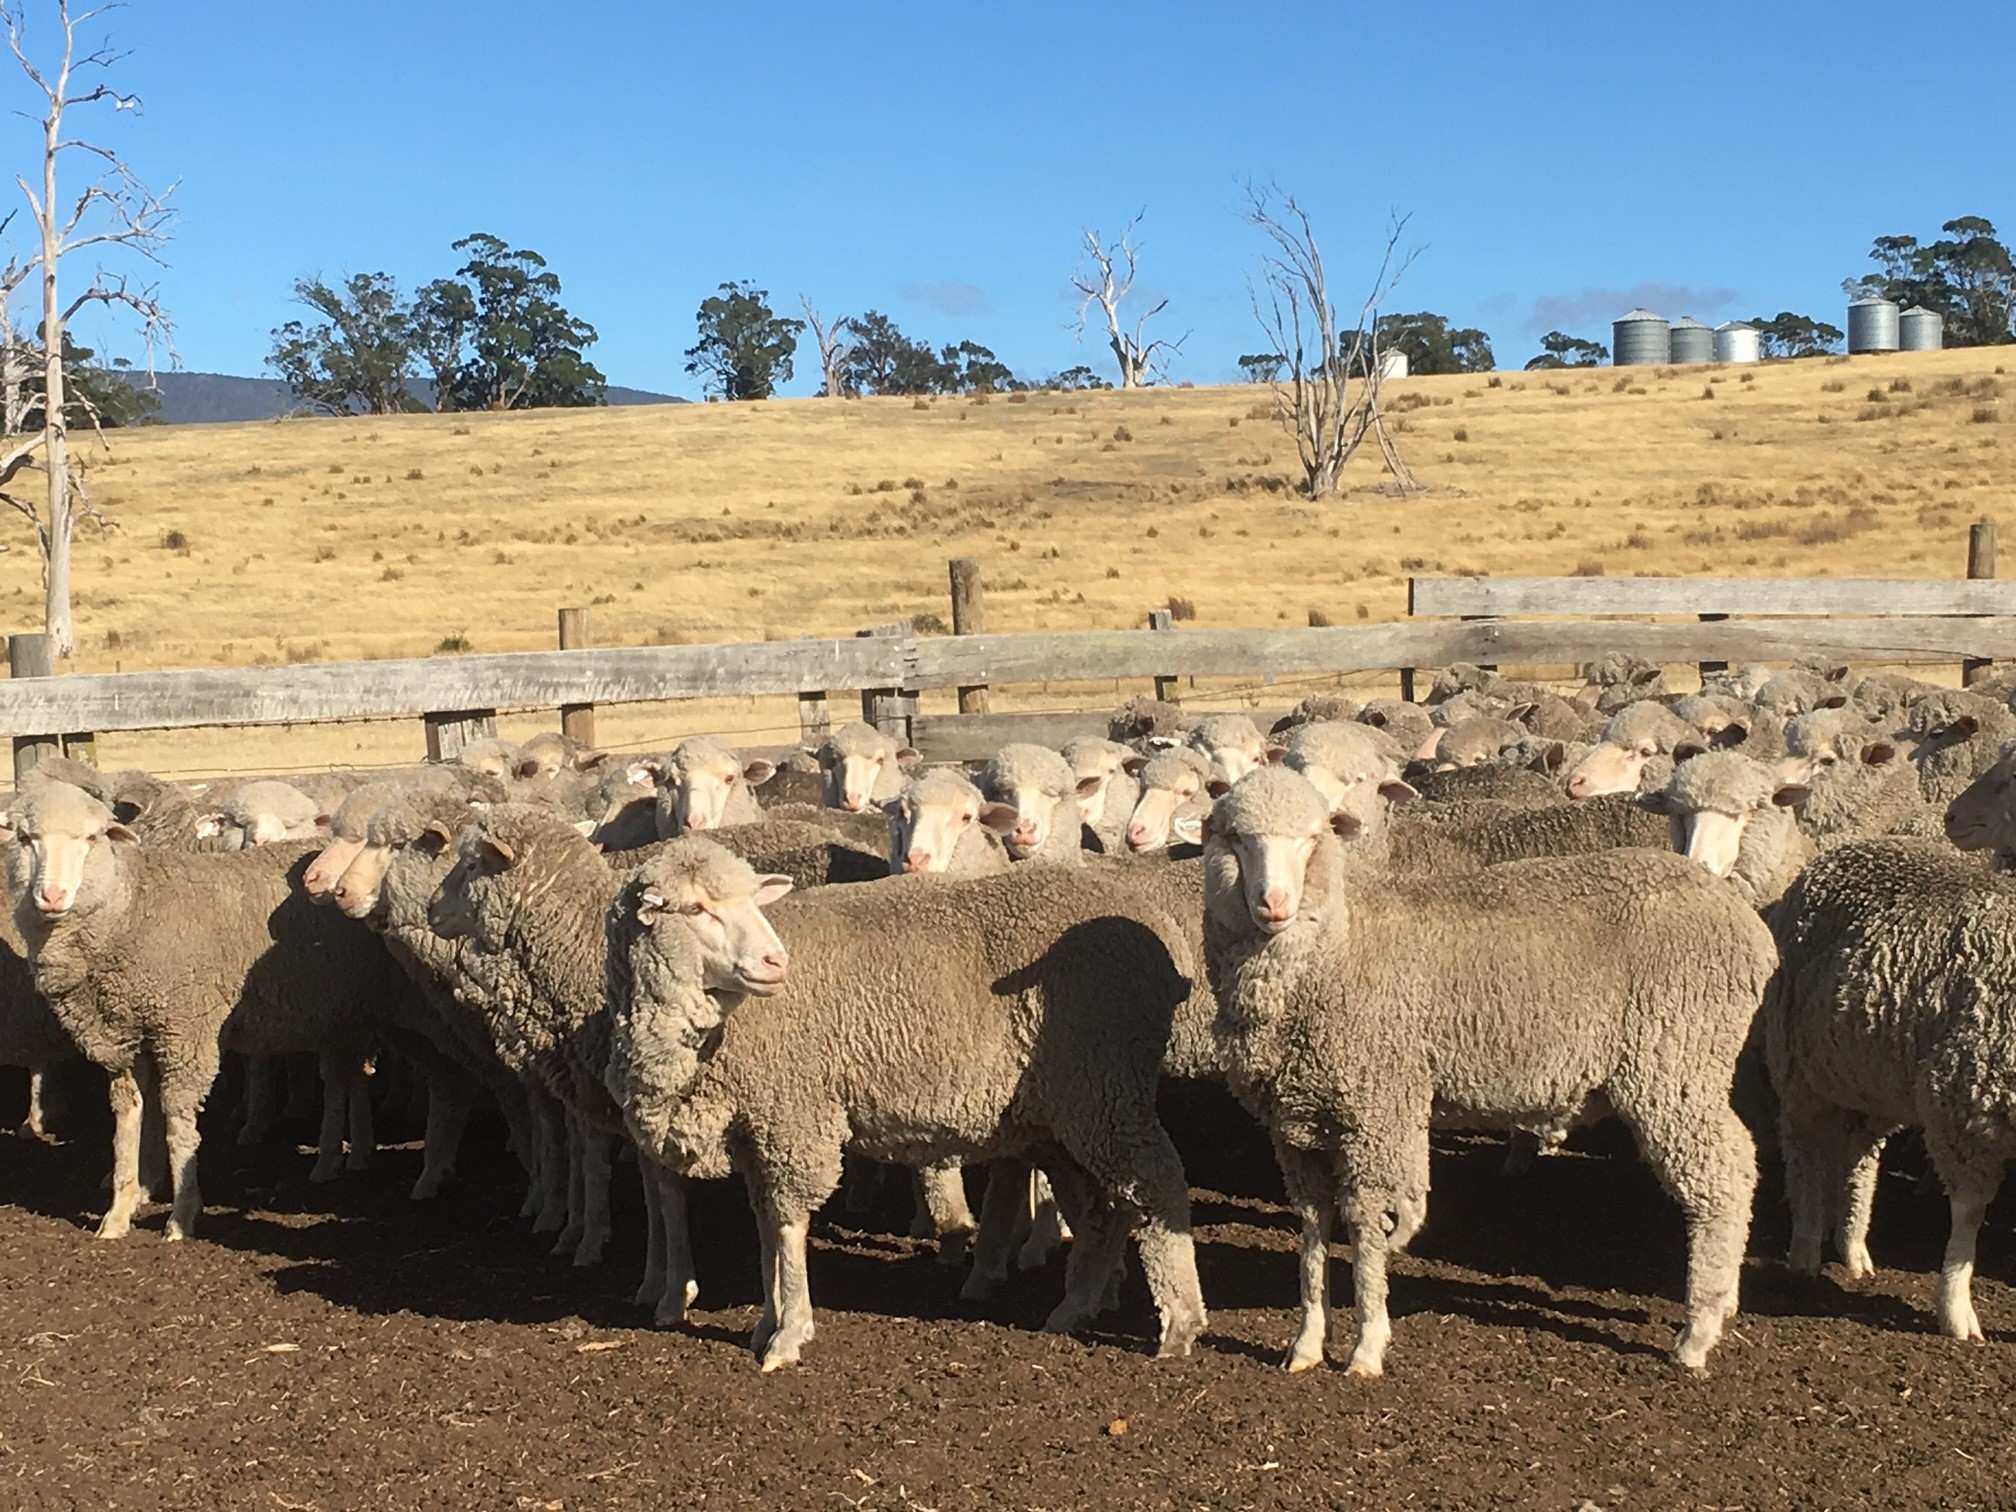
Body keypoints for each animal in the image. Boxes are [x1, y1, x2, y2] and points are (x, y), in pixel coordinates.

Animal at [7, 780, 413, 1239]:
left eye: (91, 838)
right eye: (26, 838)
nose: (52, 896)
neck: (132, 908)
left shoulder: (184, 1032)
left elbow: (177, 1124)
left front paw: (181, 1215)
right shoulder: (123, 1037)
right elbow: (130, 1120)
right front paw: (122, 1207)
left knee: (353, 1076)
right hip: (340, 1008)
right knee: (348, 1078)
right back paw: (345, 1153)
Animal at [598, 838, 1209, 1370]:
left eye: (753, 901)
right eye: (696, 908)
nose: (775, 962)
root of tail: (1159, 931)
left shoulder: (796, 1115)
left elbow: (788, 1225)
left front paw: (789, 1334)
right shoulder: (760, 1128)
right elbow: (767, 1225)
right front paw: (767, 1323)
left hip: (1101, 1079)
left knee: (1157, 1177)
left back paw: (1178, 1323)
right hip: (1067, 1106)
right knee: (1107, 1204)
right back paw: (1076, 1306)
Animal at [1199, 766, 1769, 1374]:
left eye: (1312, 838)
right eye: (1235, 839)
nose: (1274, 903)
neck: (1340, 941)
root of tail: (1744, 920)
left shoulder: (1376, 1111)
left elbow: (1365, 1224)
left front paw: (1367, 1345)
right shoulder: (1295, 1124)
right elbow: (1312, 1225)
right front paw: (1306, 1341)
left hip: (1675, 1062)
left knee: (1723, 1176)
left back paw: (1697, 1331)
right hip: (1689, 1066)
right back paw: (1722, 1303)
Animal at [1766, 834, 2016, 1341]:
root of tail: (1843, 851)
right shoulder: (1963, 1105)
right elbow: (1969, 1215)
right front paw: (1955, 1310)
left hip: (1871, 1079)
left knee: (1857, 1156)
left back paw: (1853, 1247)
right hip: (1801, 1072)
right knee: (1804, 1156)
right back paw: (1805, 1250)